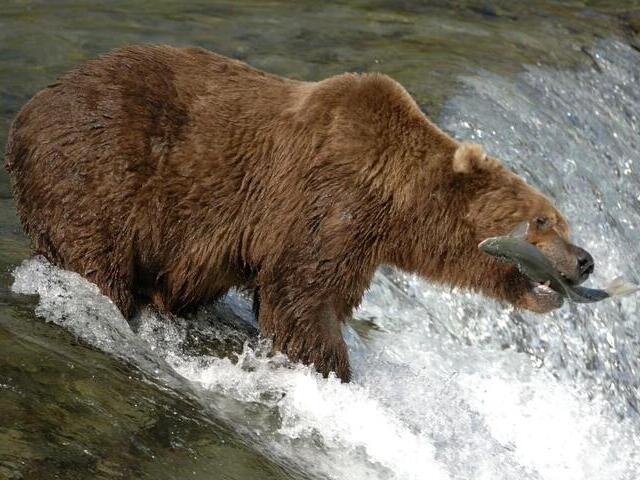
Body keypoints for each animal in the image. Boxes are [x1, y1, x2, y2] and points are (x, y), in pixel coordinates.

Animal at [5, 45, 594, 382]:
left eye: (563, 221)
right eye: (543, 219)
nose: (585, 259)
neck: (397, 202)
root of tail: (27, 110)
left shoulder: (354, 238)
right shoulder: (327, 200)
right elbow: (303, 295)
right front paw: (333, 371)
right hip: (99, 165)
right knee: (95, 254)